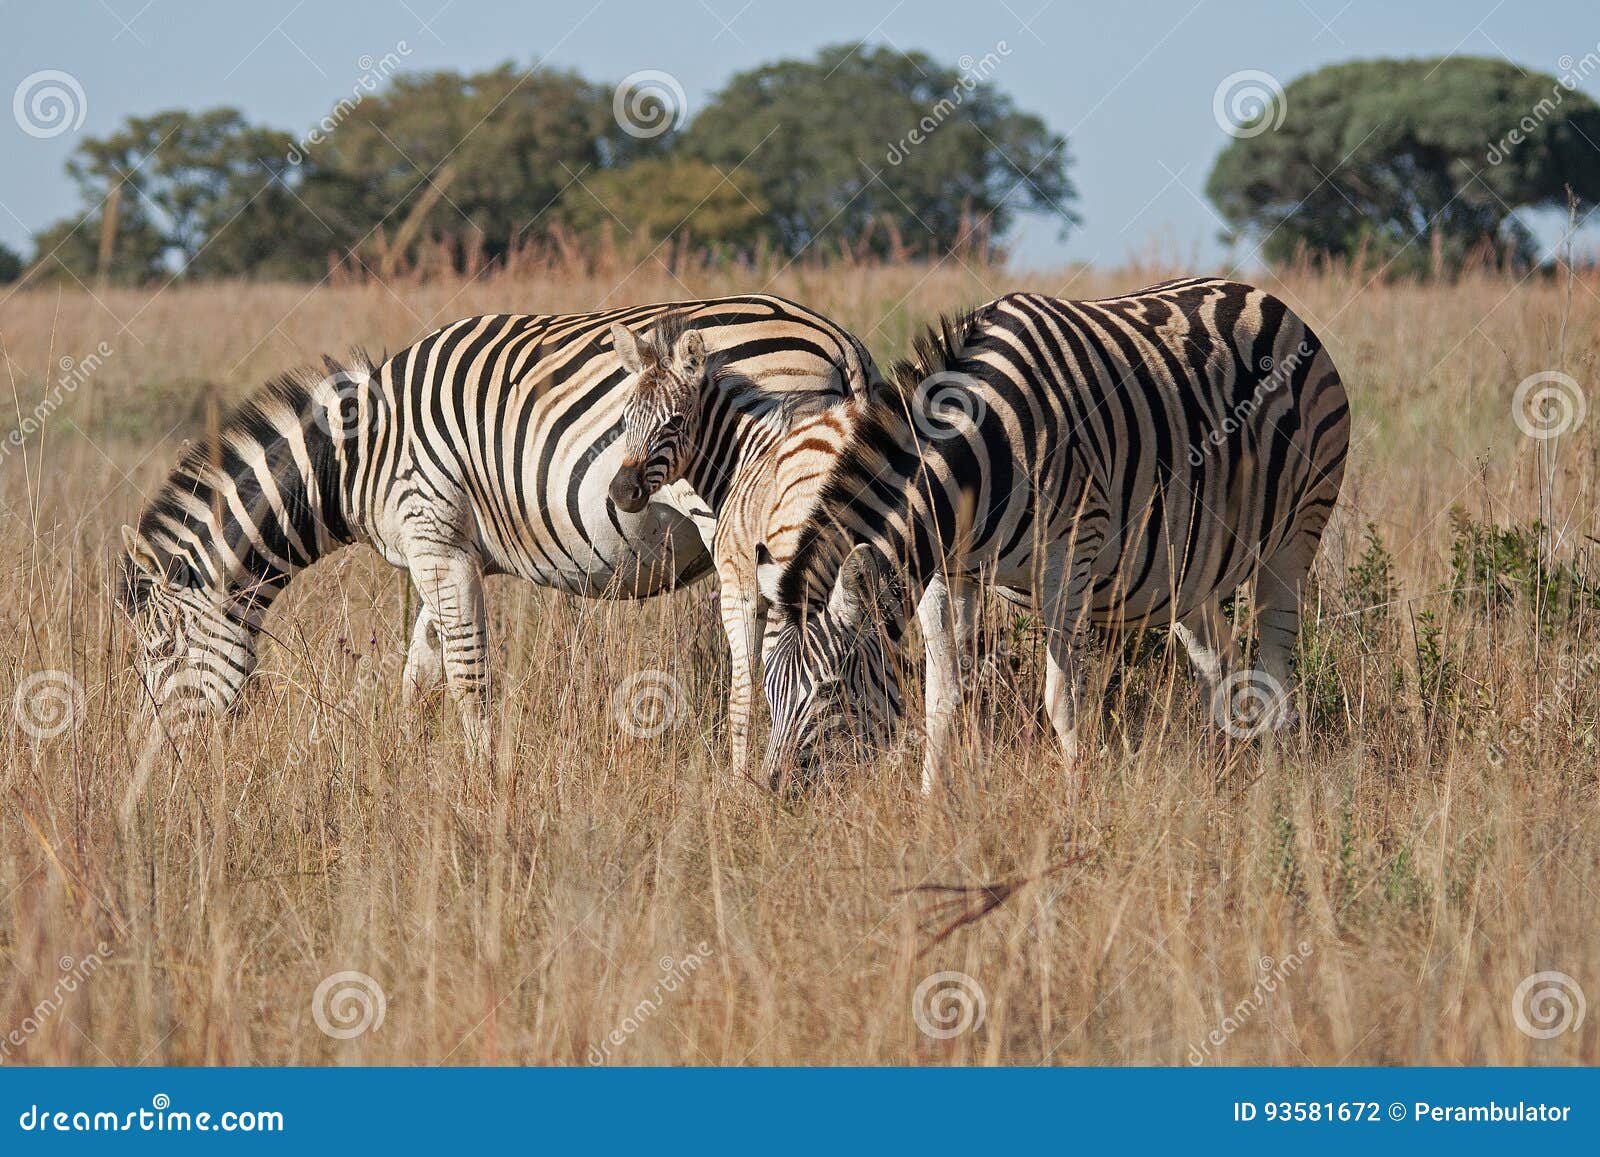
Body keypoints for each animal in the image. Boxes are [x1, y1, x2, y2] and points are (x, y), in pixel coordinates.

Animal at [117, 296, 876, 756]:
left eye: (159, 653)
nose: (161, 763)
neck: (359, 454)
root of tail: (837, 337)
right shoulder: (440, 548)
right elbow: (419, 673)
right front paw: (403, 767)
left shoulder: (434, 538)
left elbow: (465, 674)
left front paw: (481, 777)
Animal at [606, 313, 980, 786]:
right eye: (625, 418)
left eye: (673, 421)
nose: (622, 491)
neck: (747, 457)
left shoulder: (742, 588)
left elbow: (744, 690)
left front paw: (739, 781)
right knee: (938, 672)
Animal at [751, 278, 1350, 790]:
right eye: (768, 691)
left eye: (831, 688)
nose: (775, 791)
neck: (979, 453)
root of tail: (1262, 296)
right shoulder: (948, 573)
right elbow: (943, 699)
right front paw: (932, 807)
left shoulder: (1071, 560)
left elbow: (1063, 703)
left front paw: (1074, 803)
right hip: (1186, 569)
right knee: (1222, 669)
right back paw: (1219, 780)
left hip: (1296, 537)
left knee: (1274, 667)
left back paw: (1272, 786)